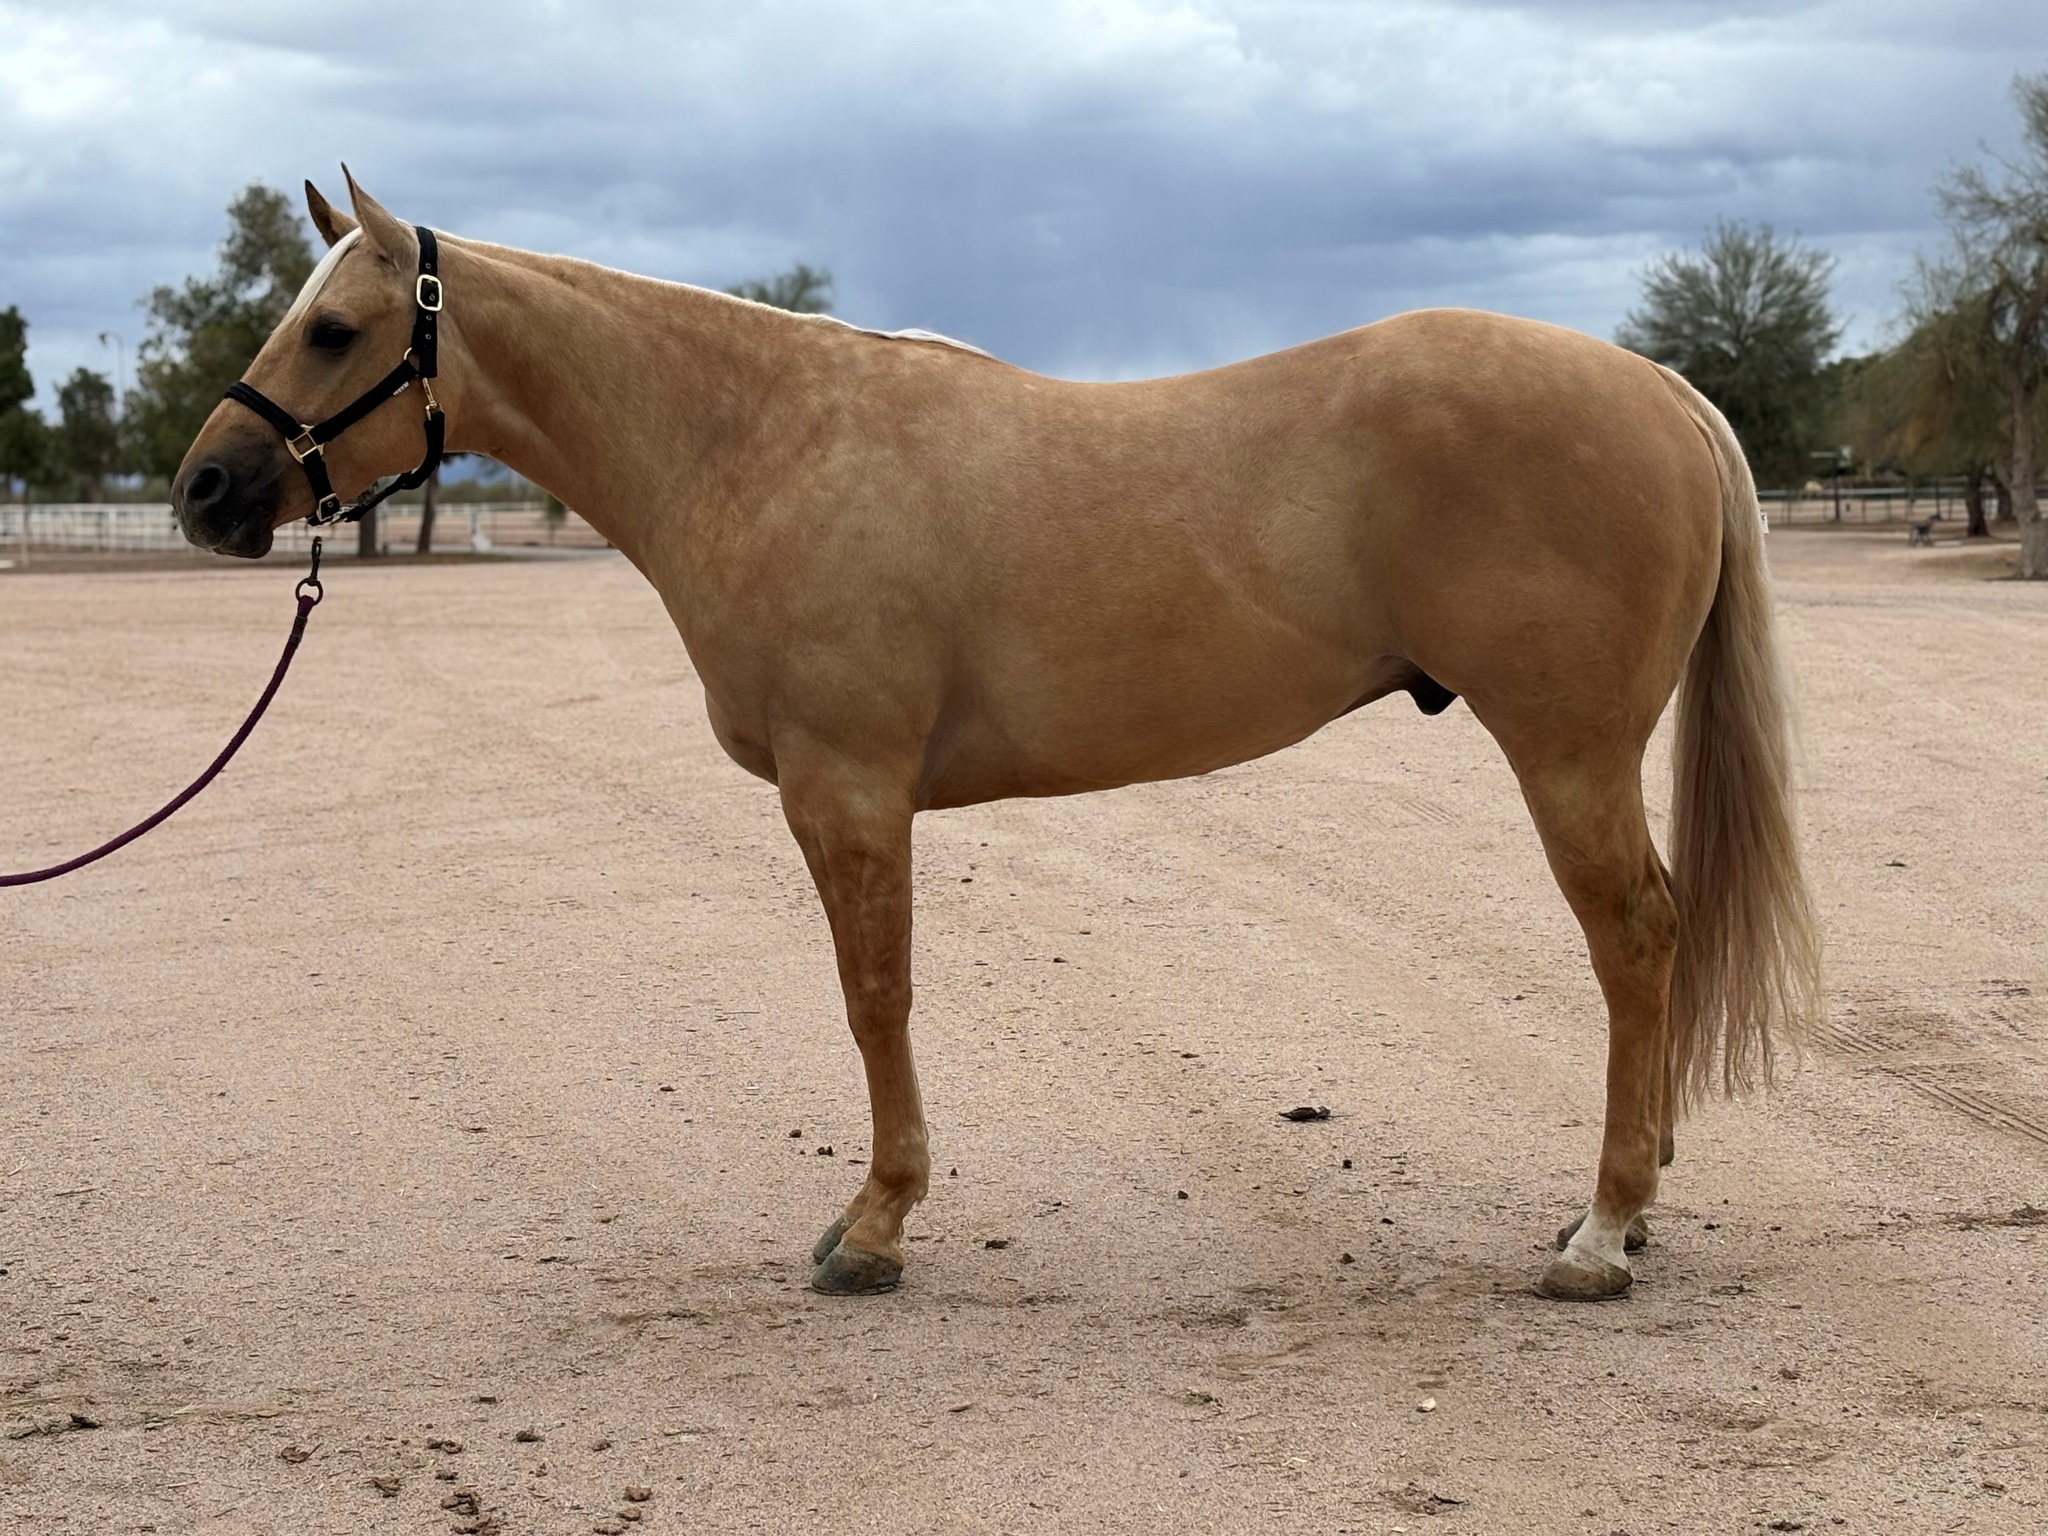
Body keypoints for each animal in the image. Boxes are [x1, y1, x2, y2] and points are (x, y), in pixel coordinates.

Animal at [171, 173, 1820, 1302]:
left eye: (333, 328)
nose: (206, 492)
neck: (761, 441)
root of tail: (1658, 387)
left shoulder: (846, 792)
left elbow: (874, 1001)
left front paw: (873, 1228)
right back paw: (1629, 1205)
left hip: (1567, 756)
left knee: (1636, 940)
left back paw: (1601, 1232)